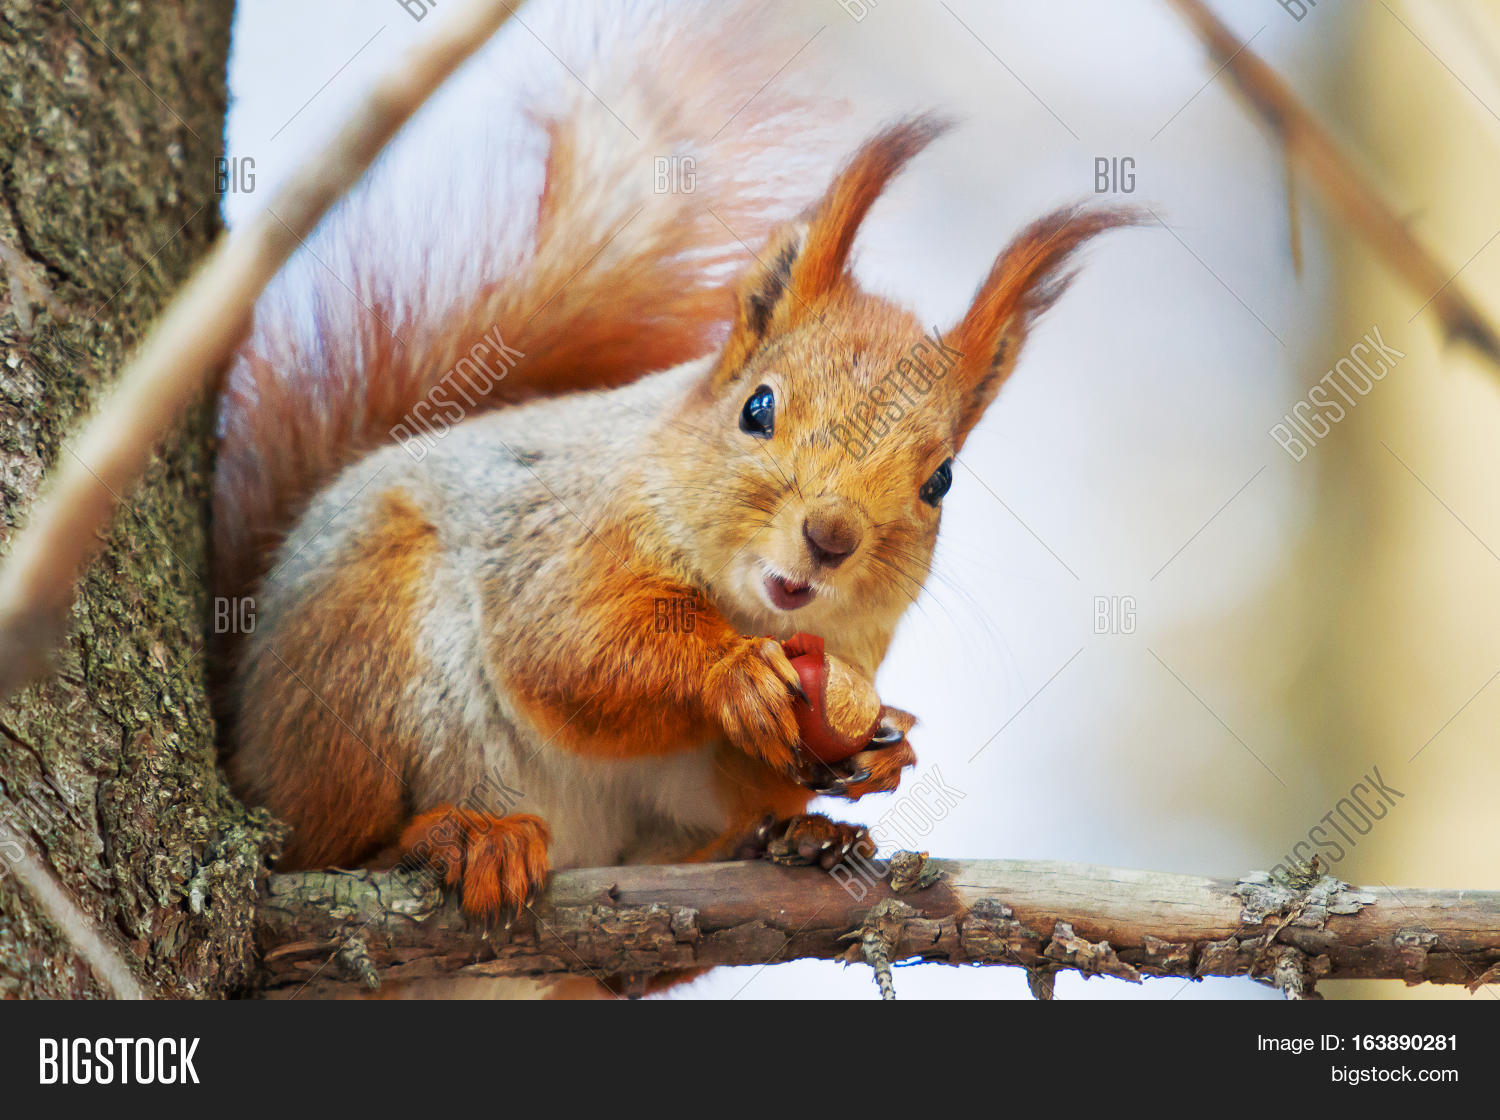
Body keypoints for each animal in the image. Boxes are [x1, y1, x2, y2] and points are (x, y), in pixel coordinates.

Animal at [212, 1, 1135, 984]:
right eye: (757, 408)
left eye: (942, 479)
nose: (832, 536)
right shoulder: (561, 534)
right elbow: (570, 649)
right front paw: (731, 674)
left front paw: (886, 742)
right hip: (360, 655)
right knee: (330, 844)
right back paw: (459, 838)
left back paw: (796, 843)